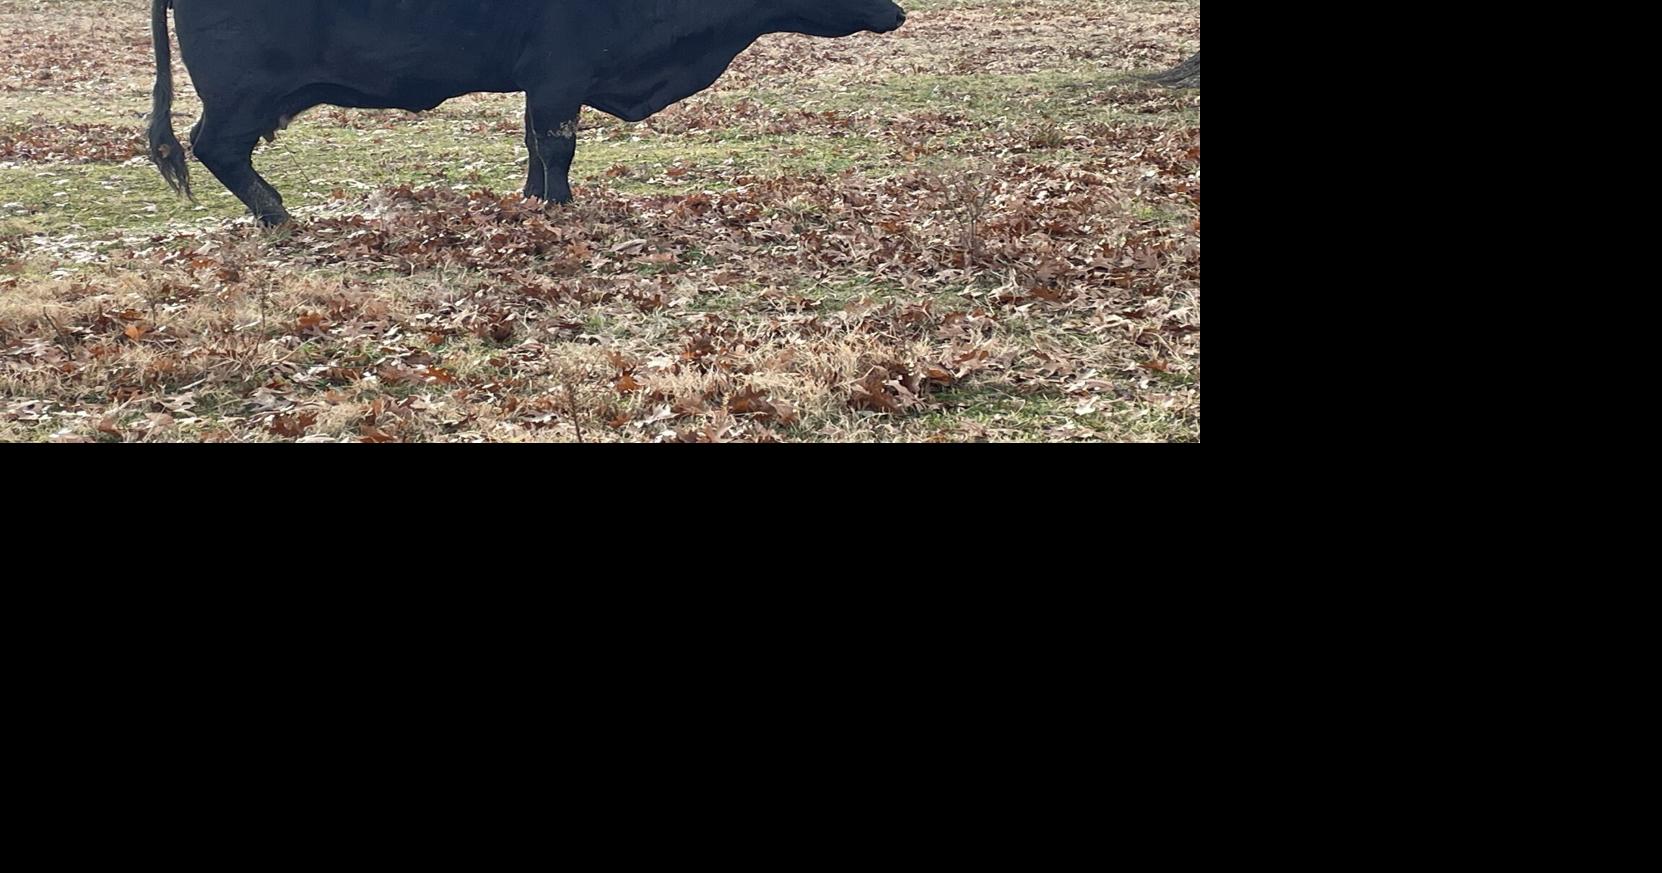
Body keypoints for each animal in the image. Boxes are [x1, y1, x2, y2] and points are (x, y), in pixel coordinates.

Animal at [147, 0, 908, 226]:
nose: (900, 11)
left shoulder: (541, 85)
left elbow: (533, 145)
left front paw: (533, 201)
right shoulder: (560, 78)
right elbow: (558, 146)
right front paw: (559, 206)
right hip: (242, 96)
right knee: (215, 146)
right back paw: (278, 215)